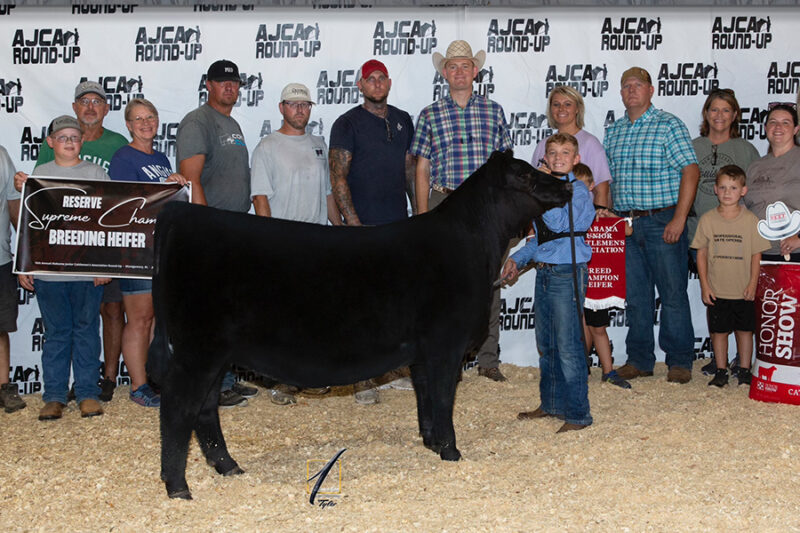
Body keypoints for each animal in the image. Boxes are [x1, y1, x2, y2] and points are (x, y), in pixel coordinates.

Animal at [150, 150, 573, 499]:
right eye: (526, 175)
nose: (567, 184)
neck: (472, 244)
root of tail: (180, 216)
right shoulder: (445, 345)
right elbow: (442, 399)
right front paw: (452, 451)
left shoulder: (422, 352)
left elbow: (425, 399)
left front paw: (432, 444)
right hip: (196, 351)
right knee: (178, 409)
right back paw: (178, 486)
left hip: (213, 354)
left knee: (205, 410)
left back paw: (228, 467)